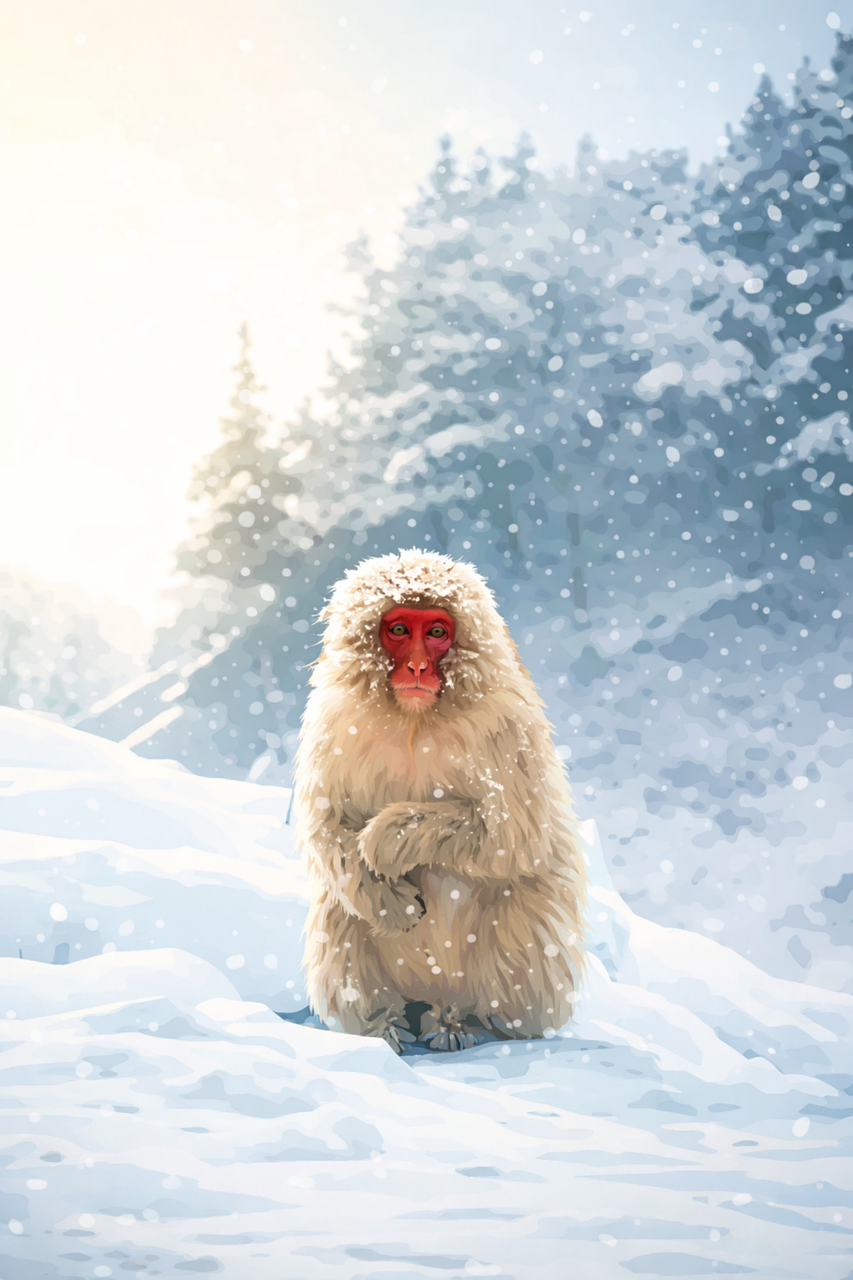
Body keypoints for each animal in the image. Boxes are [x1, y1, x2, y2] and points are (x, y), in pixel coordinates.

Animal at [293, 549, 587, 1053]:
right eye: (398, 629)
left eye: (435, 632)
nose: (415, 667)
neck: (415, 721)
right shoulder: (332, 720)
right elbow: (327, 828)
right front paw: (391, 905)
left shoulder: (509, 726)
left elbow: (516, 837)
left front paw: (385, 840)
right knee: (341, 912)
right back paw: (380, 1026)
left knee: (521, 903)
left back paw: (466, 1023)